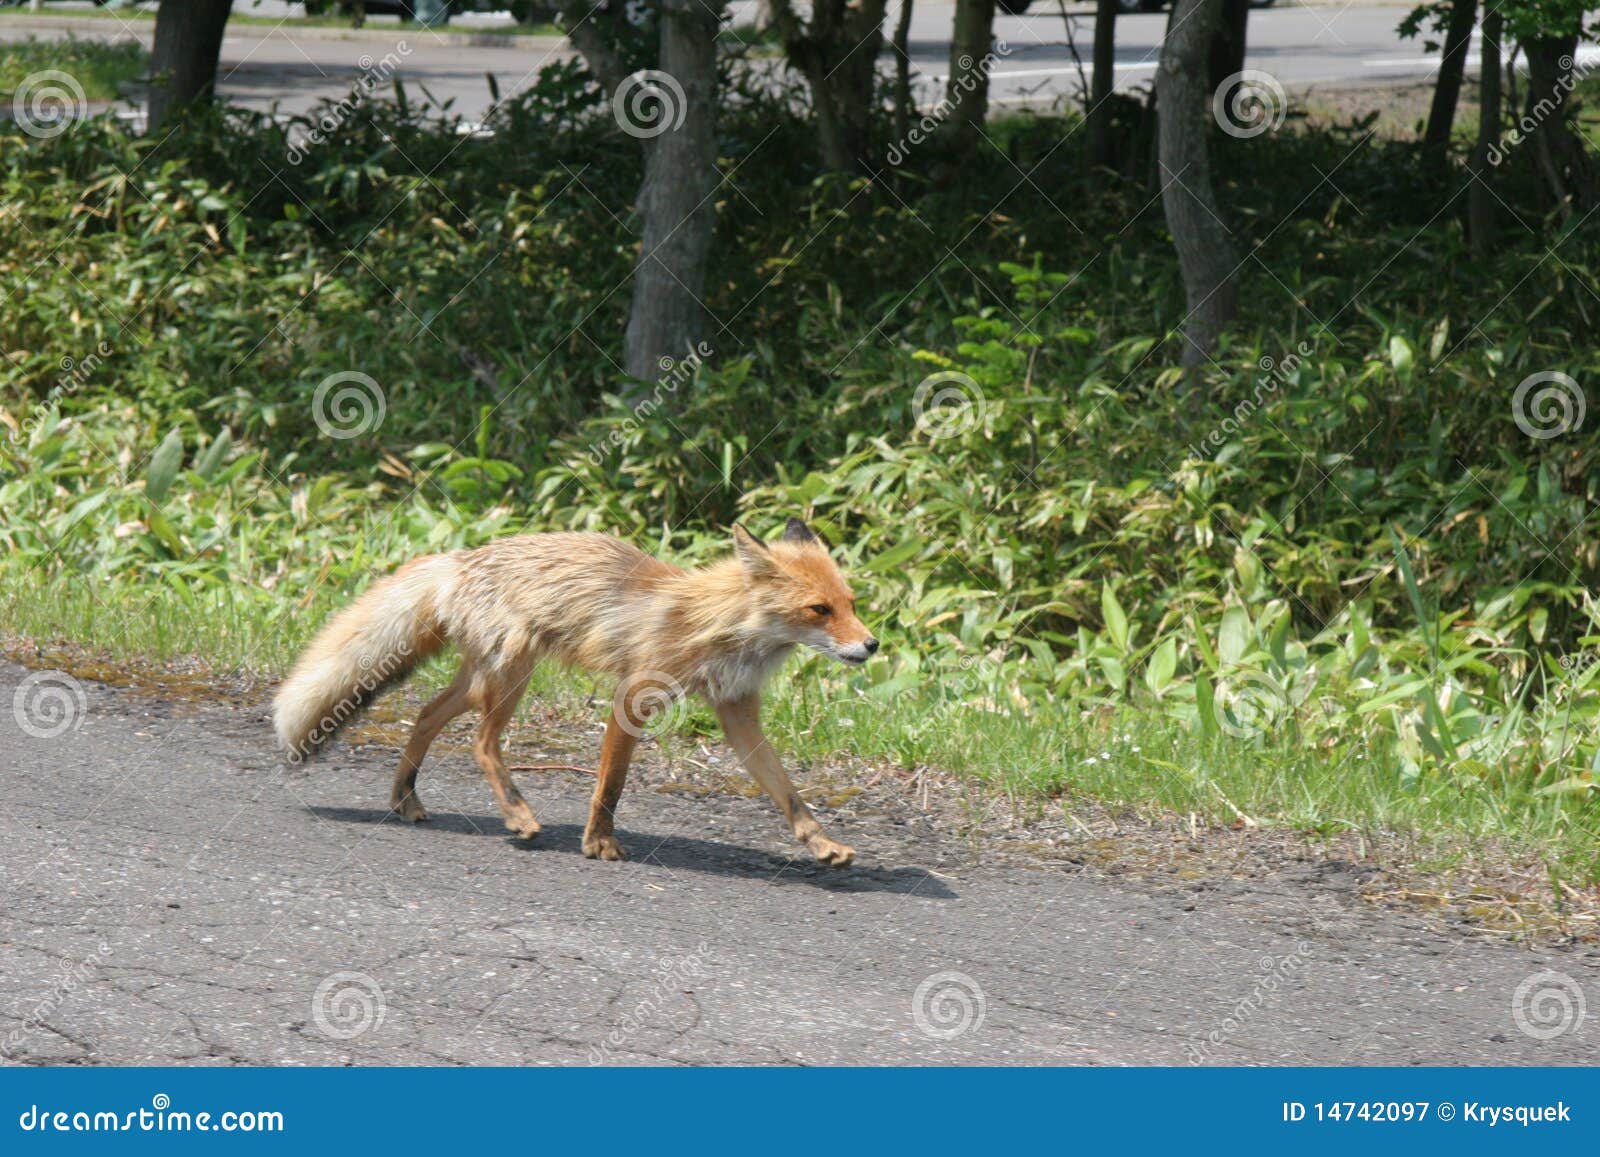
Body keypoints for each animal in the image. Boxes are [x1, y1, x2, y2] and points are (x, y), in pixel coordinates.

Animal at [272, 518, 877, 867]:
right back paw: (518, 816)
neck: (715, 625)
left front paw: (821, 844)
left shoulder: (737, 712)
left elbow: (788, 793)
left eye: (850, 603)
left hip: (484, 679)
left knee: (425, 714)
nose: (872, 644)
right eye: (819, 610)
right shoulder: (632, 698)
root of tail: (459, 558)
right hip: (511, 675)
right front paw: (599, 844)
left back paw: (405, 799)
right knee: (480, 744)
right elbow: (610, 785)